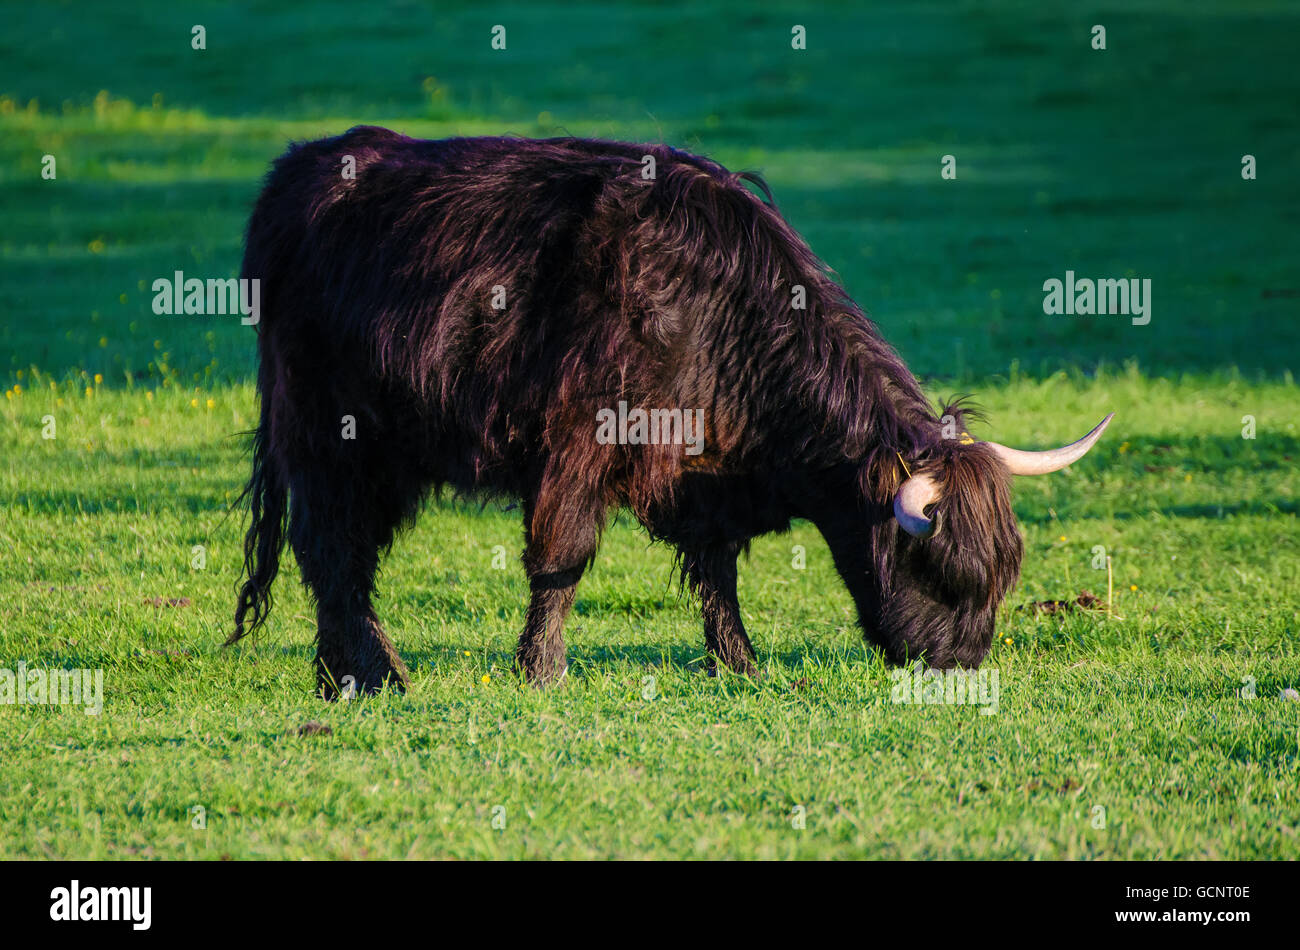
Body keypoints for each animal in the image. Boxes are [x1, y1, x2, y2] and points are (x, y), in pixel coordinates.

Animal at [228, 126, 1112, 698]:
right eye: (938, 568)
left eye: (1003, 573)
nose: (960, 669)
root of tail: (301, 167)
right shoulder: (580, 441)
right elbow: (562, 560)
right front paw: (541, 672)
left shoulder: (705, 475)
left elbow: (716, 570)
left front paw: (741, 665)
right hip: (325, 434)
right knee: (328, 546)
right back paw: (371, 674)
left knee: (344, 553)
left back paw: (339, 673)